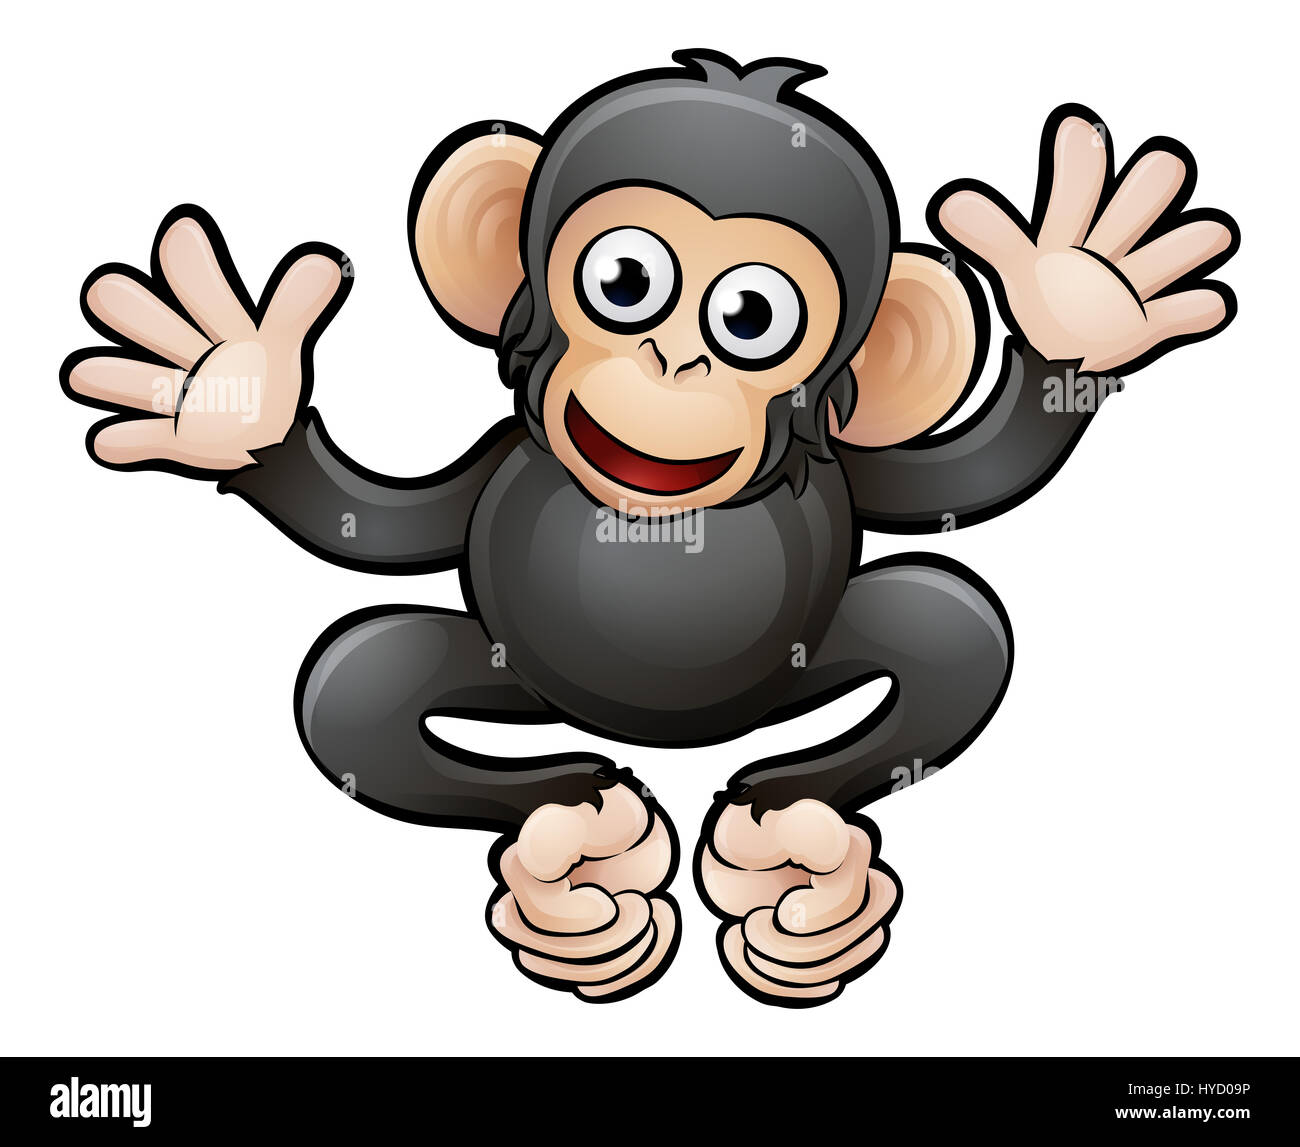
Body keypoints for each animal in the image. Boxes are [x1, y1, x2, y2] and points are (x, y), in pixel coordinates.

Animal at [61, 50, 1239, 1007]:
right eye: (624, 279)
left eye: (752, 315)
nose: (677, 360)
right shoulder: (501, 459)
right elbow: (380, 529)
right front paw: (230, 392)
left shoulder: (847, 473)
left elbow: (966, 484)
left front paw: (1080, 301)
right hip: (517, 677)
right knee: (360, 687)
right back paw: (578, 815)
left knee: (947, 632)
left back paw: (781, 820)